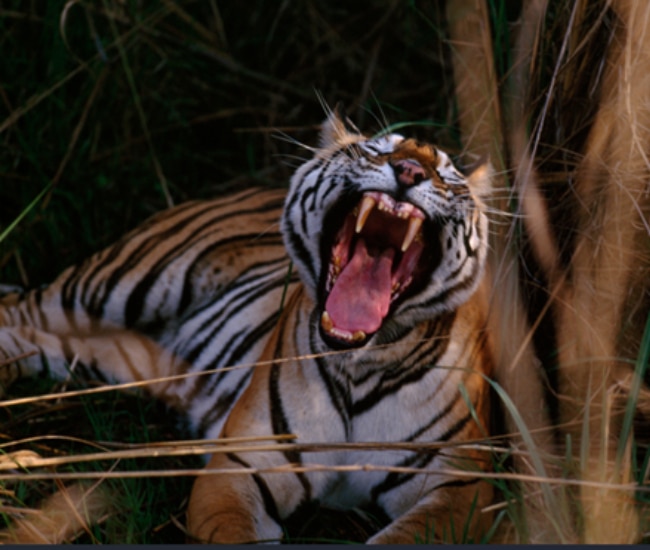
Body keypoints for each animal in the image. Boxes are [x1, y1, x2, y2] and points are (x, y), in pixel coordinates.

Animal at [0, 111, 495, 544]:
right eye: (375, 149)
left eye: (448, 176)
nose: (409, 169)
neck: (359, 361)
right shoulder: (242, 462)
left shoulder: (460, 488)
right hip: (108, 284)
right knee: (17, 309)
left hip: (106, 353)